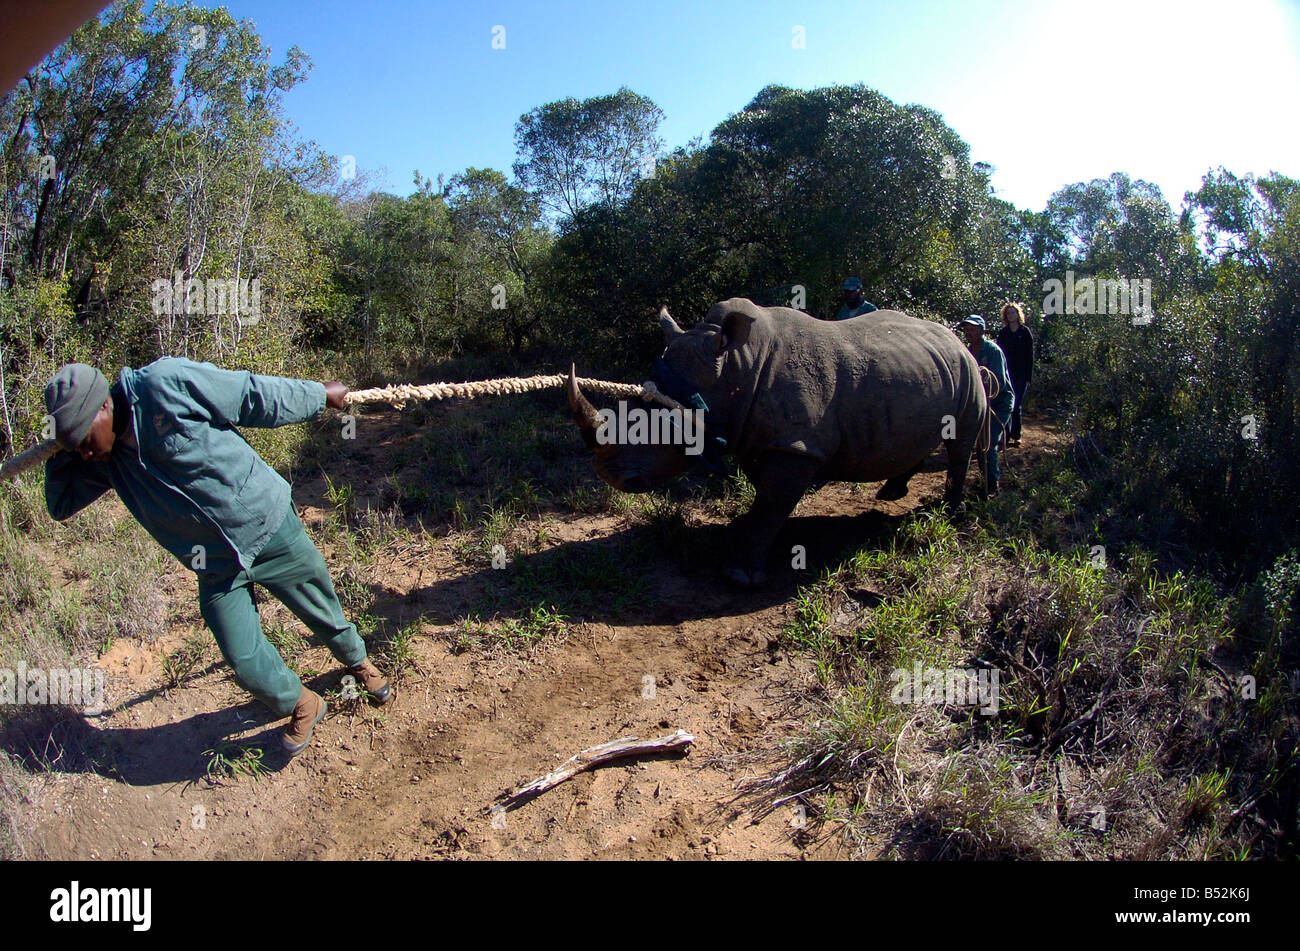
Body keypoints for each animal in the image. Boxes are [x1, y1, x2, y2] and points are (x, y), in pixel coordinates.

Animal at [567, 297, 987, 585]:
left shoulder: (794, 447)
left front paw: (739, 576)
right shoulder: (756, 436)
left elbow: (772, 502)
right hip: (928, 371)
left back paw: (950, 514)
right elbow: (766, 497)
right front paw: (746, 533)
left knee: (961, 442)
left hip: (969, 371)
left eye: (660, 427)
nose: (604, 473)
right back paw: (892, 493)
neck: (737, 370)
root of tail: (956, 338)